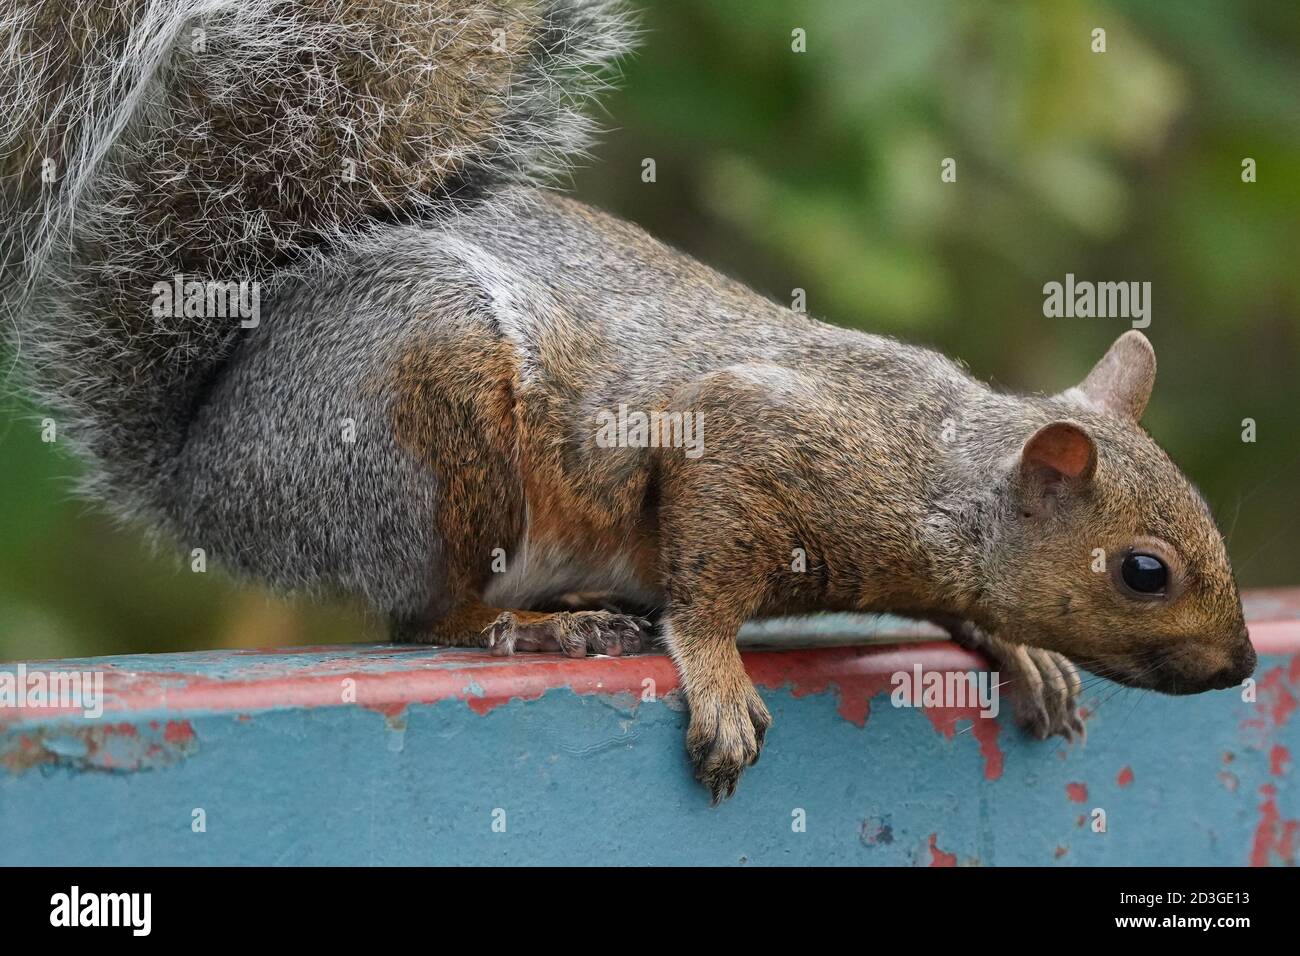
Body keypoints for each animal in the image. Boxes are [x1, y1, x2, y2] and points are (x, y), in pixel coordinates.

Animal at [2, 0, 1256, 801]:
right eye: (1142, 571)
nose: (1241, 664)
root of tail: (207, 471)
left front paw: (1016, 645)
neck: (934, 468)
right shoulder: (756, 439)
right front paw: (716, 676)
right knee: (427, 619)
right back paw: (539, 622)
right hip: (433, 431)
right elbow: (703, 576)